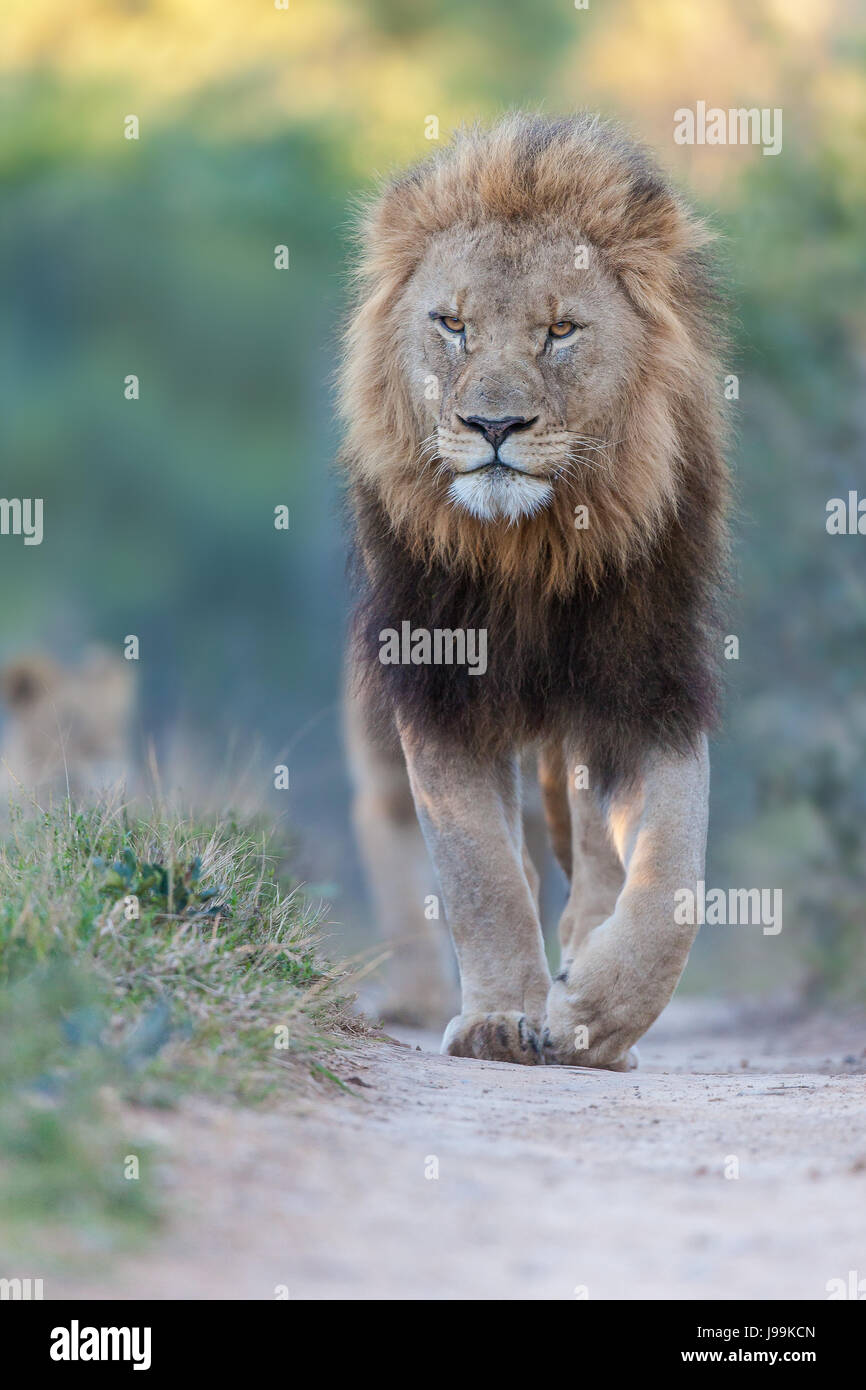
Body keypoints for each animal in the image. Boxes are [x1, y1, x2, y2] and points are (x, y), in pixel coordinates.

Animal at [340, 114, 729, 1069]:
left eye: (560, 330)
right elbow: (478, 869)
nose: (493, 426)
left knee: (594, 846)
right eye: (452, 324)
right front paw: (496, 1022)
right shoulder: (439, 683)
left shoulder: (648, 682)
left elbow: (675, 873)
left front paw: (597, 1013)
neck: (531, 548)